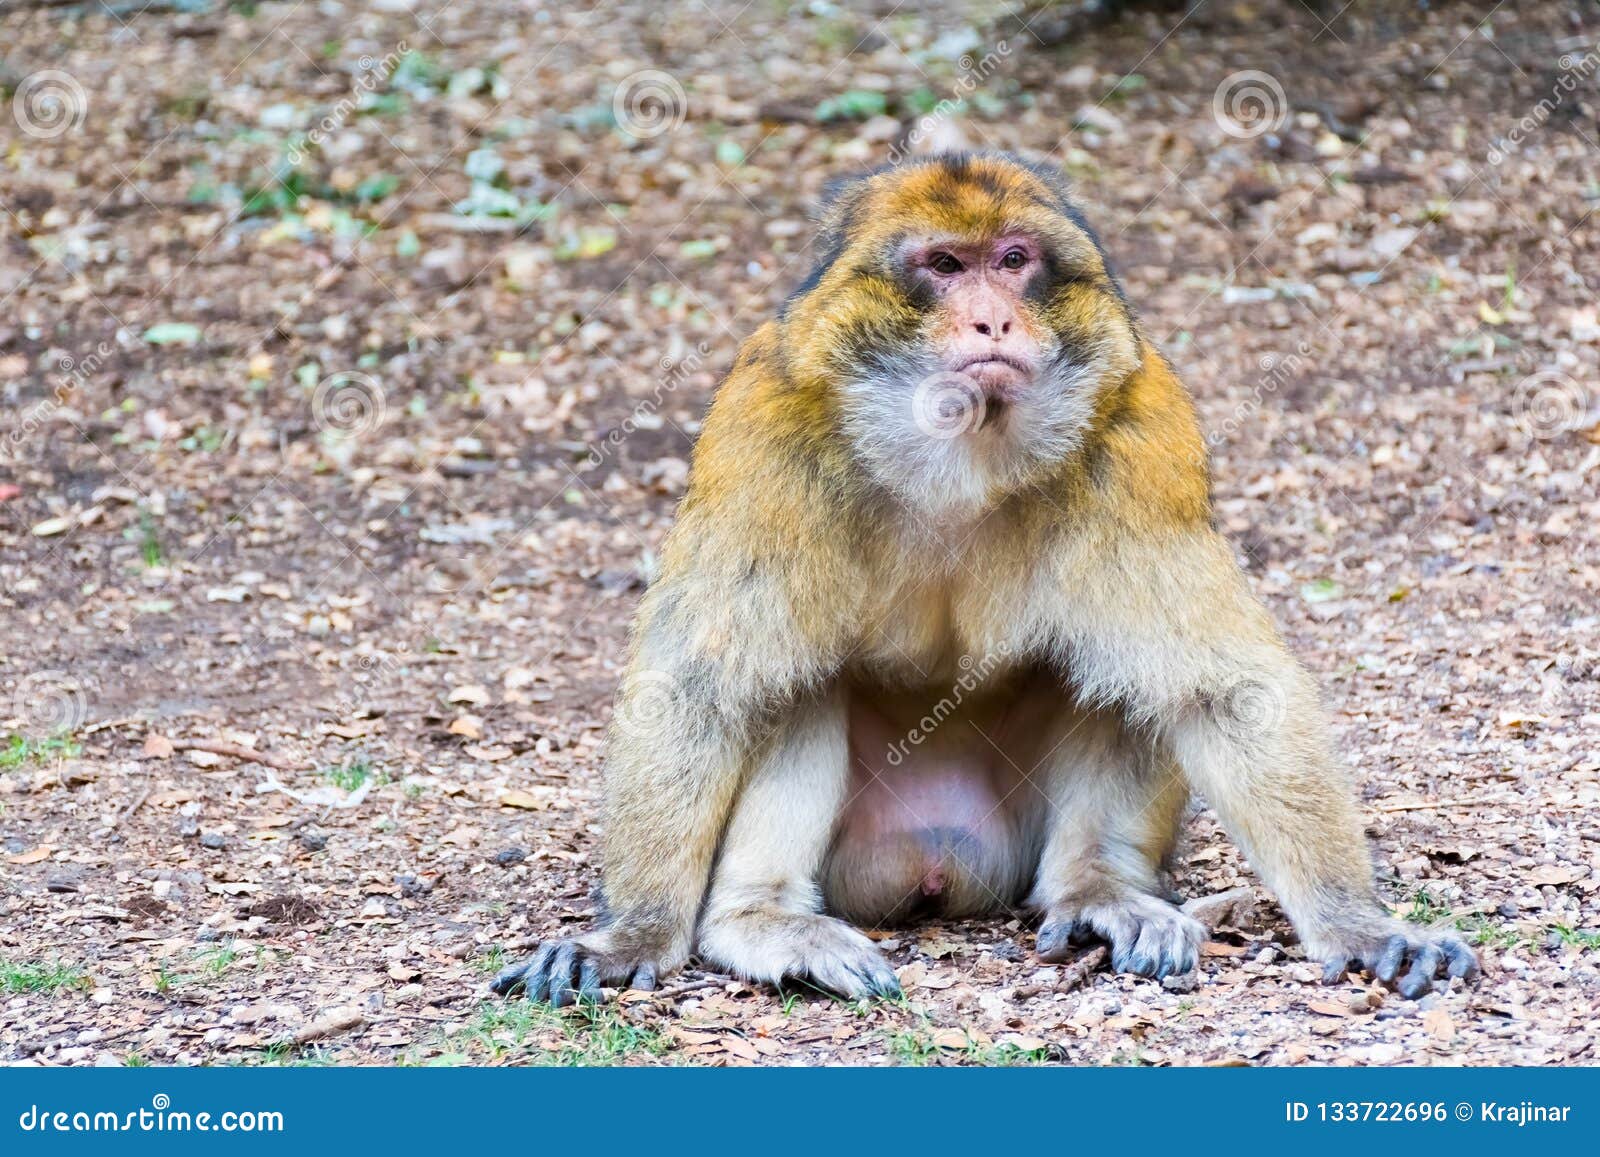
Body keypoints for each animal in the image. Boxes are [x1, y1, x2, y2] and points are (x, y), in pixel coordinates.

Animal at [492, 152, 1479, 1007]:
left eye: (1013, 261)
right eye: (943, 265)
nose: (993, 319)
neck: (956, 446)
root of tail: (938, 865)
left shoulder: (1142, 426)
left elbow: (1219, 690)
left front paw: (1357, 922)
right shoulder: (762, 431)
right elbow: (699, 688)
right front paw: (632, 933)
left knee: (1117, 673)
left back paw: (1097, 890)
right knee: (797, 684)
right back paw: (762, 920)